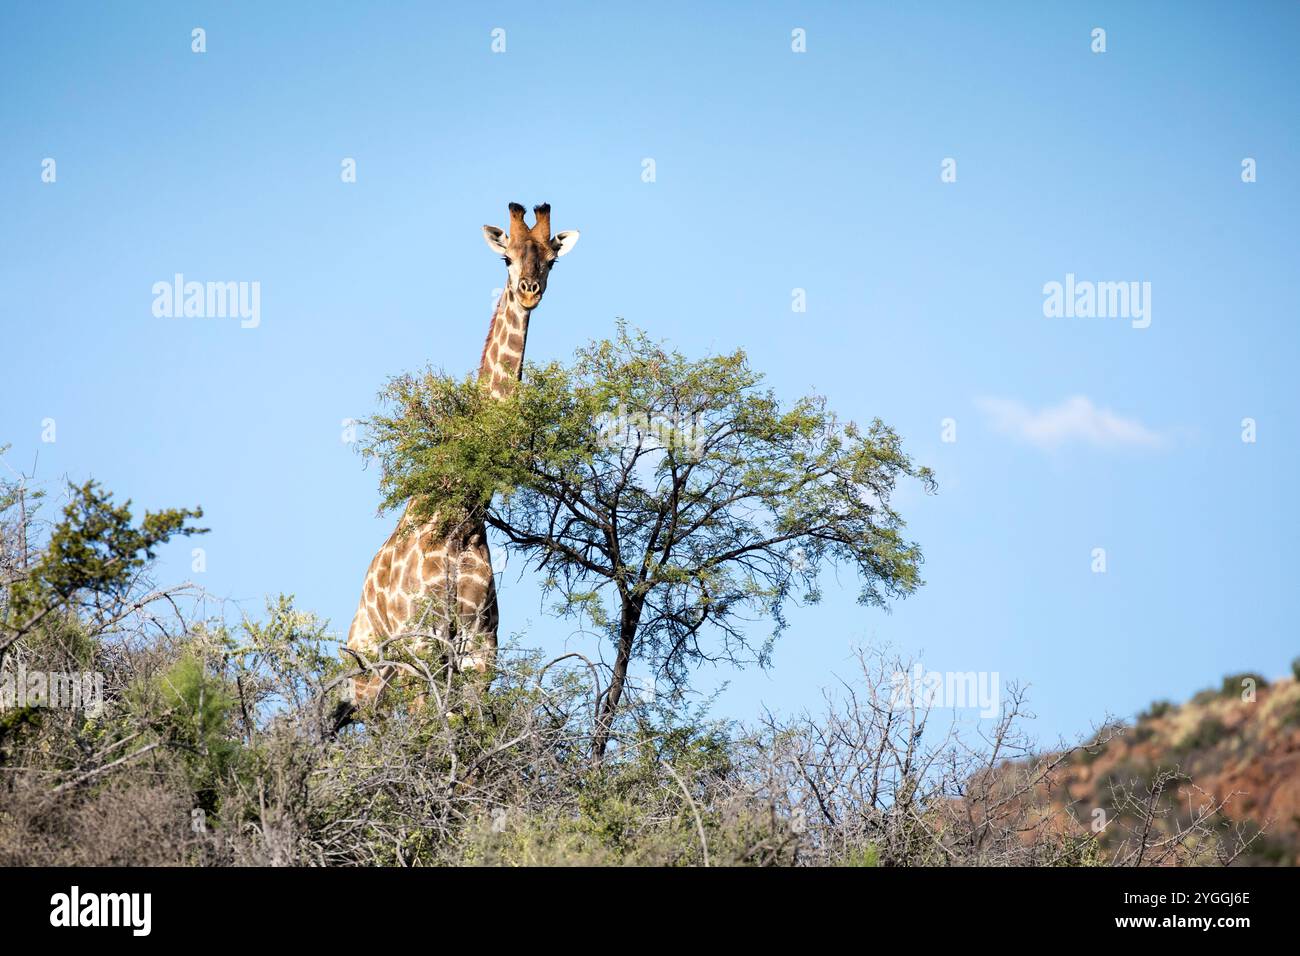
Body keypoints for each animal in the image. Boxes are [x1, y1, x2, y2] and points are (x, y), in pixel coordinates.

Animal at [339, 203, 579, 720]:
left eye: (551, 262)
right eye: (506, 258)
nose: (528, 292)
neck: (462, 517)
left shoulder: (479, 648)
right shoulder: (422, 644)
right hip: (369, 674)